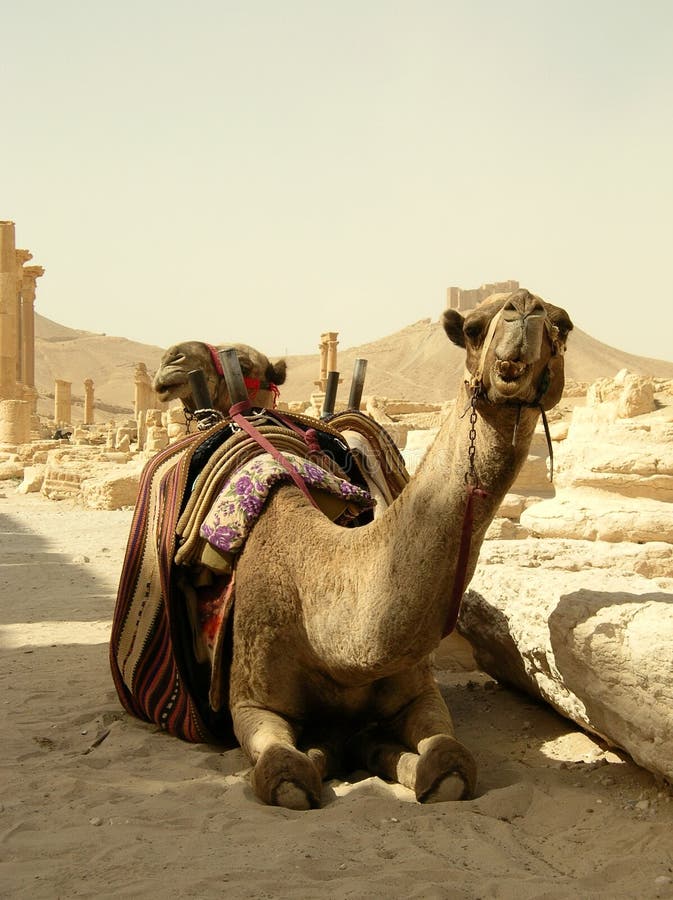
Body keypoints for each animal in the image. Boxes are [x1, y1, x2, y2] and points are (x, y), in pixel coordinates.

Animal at [220, 288, 573, 809]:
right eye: (473, 328)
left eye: (563, 324)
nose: (524, 307)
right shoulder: (251, 701)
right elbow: (285, 773)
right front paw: (321, 755)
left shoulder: (418, 690)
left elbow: (449, 759)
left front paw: (385, 754)